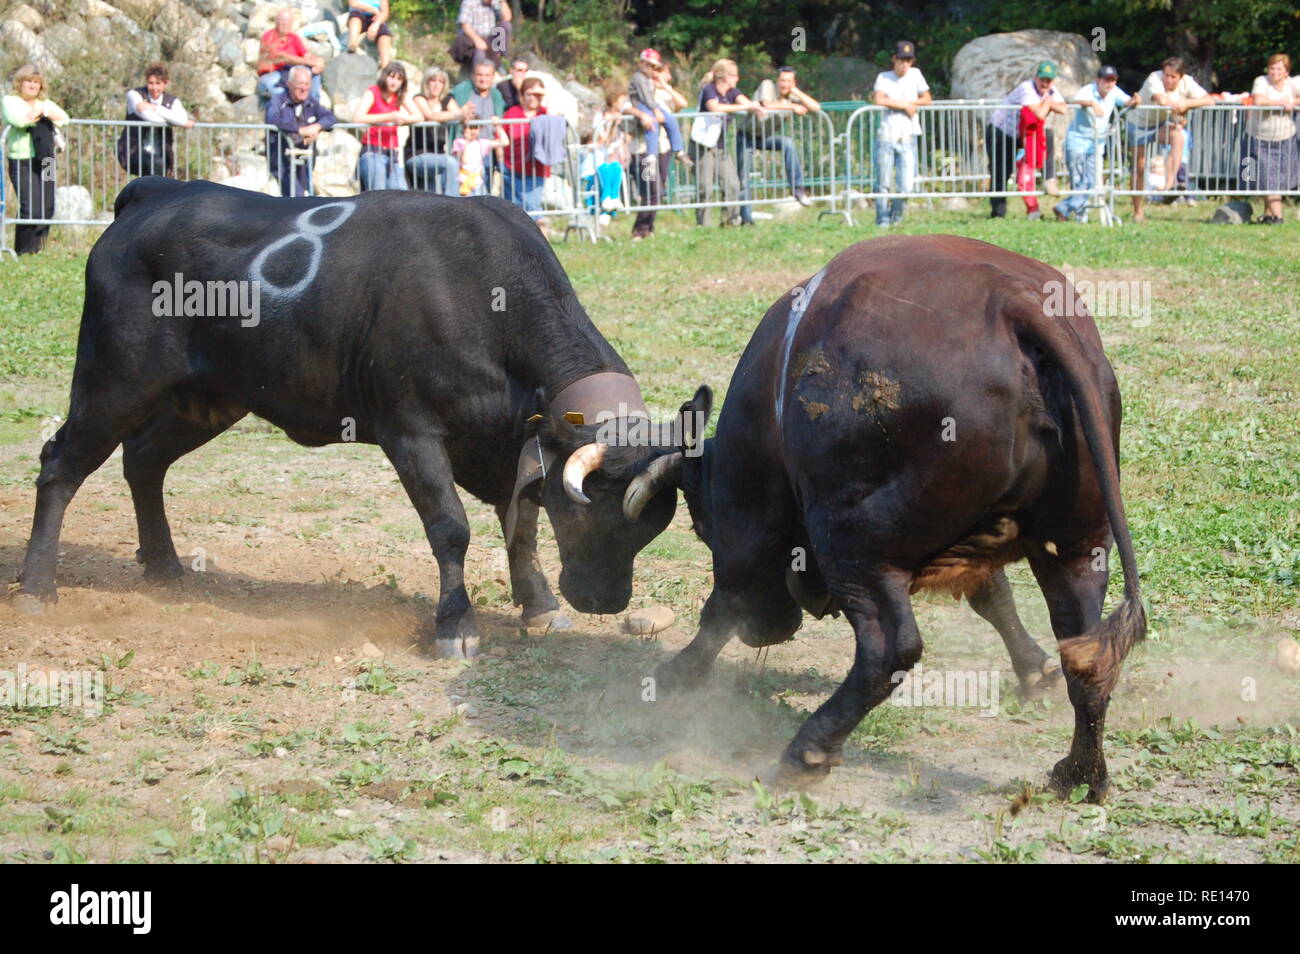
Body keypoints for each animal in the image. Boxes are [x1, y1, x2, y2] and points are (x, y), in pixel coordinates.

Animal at [13, 178, 683, 659]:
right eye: (591, 517)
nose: (608, 602)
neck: (482, 293)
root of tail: (155, 191)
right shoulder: (410, 431)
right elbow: (451, 527)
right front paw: (456, 625)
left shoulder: (512, 447)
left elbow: (521, 527)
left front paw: (539, 606)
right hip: (113, 381)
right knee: (60, 465)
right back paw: (37, 587)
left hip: (205, 398)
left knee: (144, 461)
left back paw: (165, 568)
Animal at [622, 235, 1146, 803]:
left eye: (701, 525)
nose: (771, 630)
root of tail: (1013, 300)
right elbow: (994, 596)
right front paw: (1034, 671)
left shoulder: (750, 514)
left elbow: (724, 604)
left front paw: (676, 676)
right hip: (1078, 545)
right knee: (1086, 652)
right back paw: (1079, 772)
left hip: (852, 543)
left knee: (889, 648)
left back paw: (807, 752)